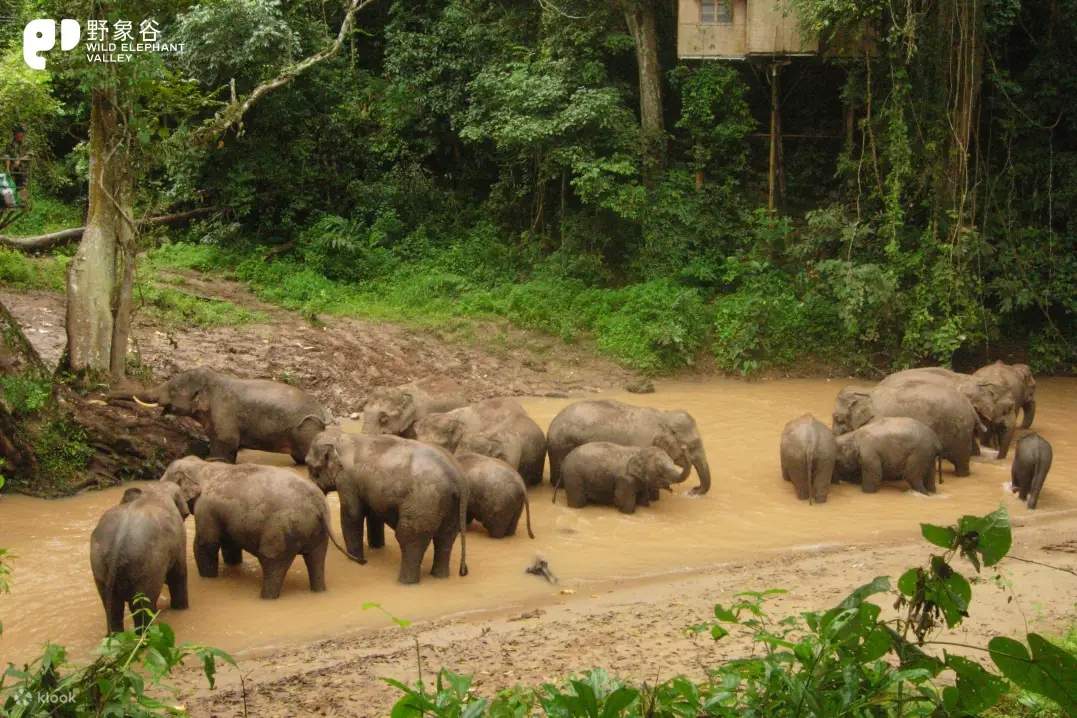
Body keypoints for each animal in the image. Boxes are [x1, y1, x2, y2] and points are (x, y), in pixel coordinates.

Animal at [90, 483, 189, 634]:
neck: (153, 491)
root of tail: (118, 542)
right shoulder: (179, 538)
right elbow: (178, 574)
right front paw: (181, 609)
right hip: (147, 568)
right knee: (142, 607)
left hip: (99, 563)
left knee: (112, 606)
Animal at [117, 367, 332, 464]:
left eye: (173, 390)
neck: (213, 381)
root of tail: (323, 414)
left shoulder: (224, 412)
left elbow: (226, 442)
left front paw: (213, 461)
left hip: (307, 430)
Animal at [161, 456, 356, 599]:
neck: (202, 466)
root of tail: (319, 503)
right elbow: (230, 545)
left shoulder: (206, 509)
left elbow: (206, 545)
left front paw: (208, 579)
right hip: (318, 533)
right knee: (316, 560)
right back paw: (319, 590)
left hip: (280, 533)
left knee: (272, 563)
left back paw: (266, 597)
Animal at [306, 429, 469, 584]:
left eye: (310, 467)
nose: (364, 562)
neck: (340, 436)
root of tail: (456, 478)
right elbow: (373, 514)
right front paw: (376, 549)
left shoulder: (346, 479)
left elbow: (352, 514)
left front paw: (355, 559)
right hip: (451, 507)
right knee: (446, 538)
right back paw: (440, 577)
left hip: (424, 502)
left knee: (409, 538)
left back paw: (405, 582)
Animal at [833, 383, 979, 477]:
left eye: (837, 418)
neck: (865, 391)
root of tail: (970, 406)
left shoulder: (877, 419)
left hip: (961, 431)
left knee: (961, 460)